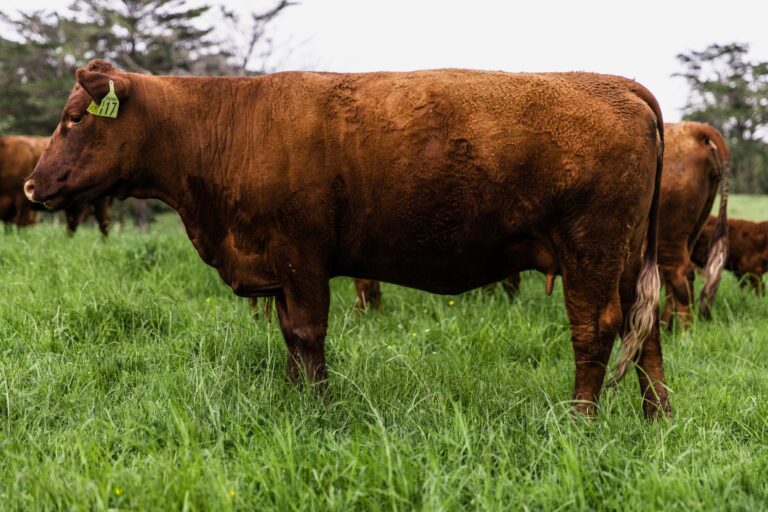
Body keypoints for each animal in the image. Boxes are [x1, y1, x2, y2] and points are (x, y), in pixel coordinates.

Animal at [25, 60, 668, 417]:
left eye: (76, 118)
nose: (32, 185)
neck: (229, 125)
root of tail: (620, 86)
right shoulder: (280, 269)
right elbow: (289, 336)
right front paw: (292, 400)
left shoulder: (301, 257)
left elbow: (308, 335)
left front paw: (317, 410)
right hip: (627, 256)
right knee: (647, 331)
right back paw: (657, 419)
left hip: (591, 250)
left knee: (595, 331)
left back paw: (580, 422)